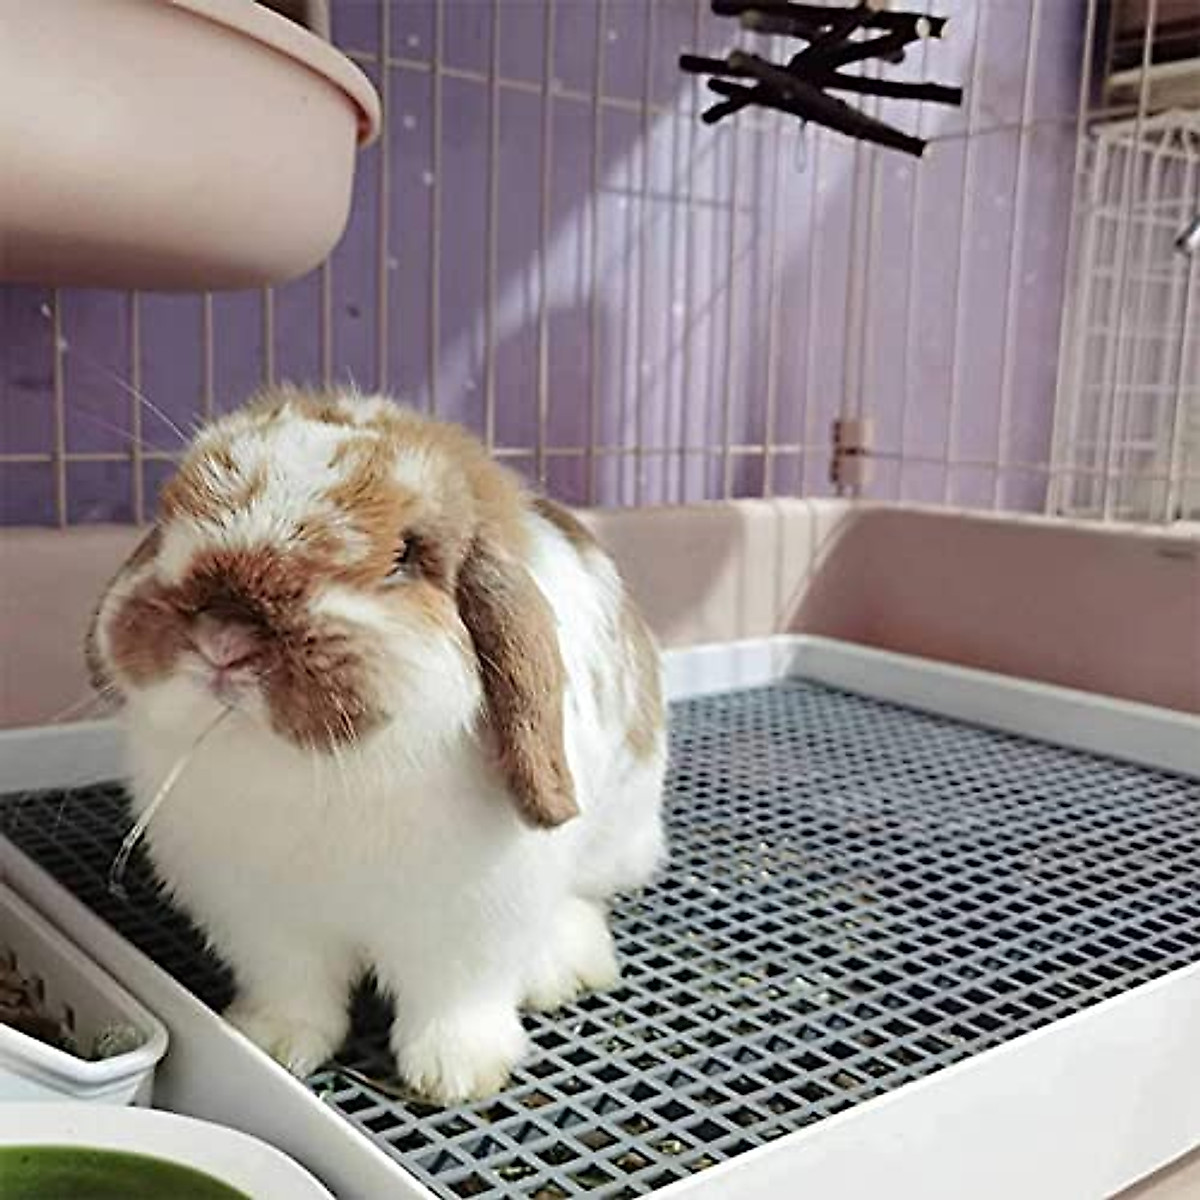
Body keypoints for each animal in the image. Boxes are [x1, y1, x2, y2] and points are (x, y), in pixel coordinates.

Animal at [86, 386, 667, 1104]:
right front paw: (273, 1044)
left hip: (619, 838)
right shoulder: (266, 925)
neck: (306, 771)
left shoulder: (465, 929)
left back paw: (563, 967)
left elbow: (456, 1000)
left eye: (406, 556)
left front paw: (456, 1077)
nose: (225, 636)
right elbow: (294, 990)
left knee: (581, 900)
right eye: (170, 515)